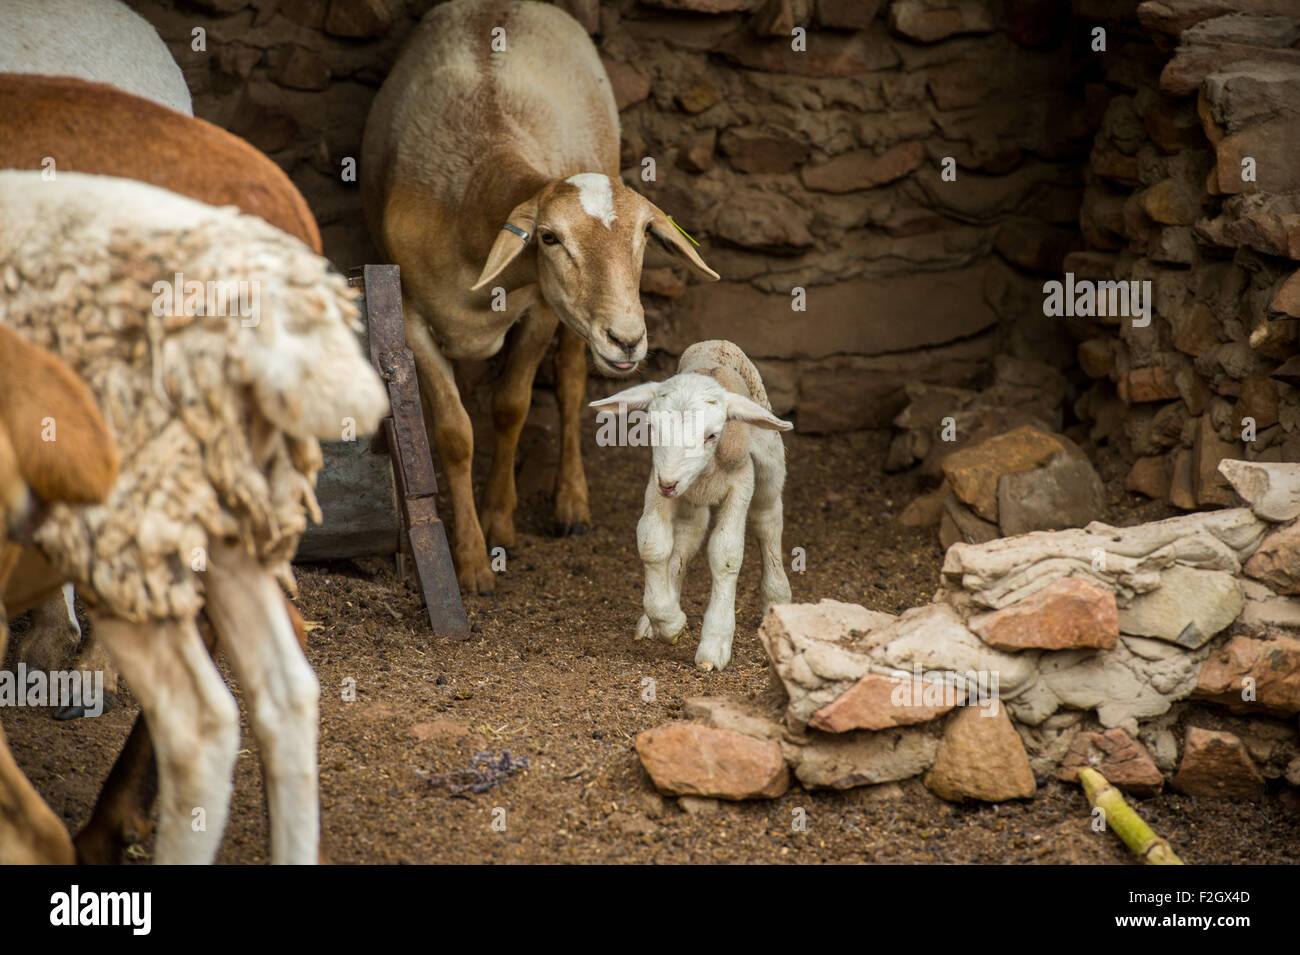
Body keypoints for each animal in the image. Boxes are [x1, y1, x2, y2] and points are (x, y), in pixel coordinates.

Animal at [361, 0, 718, 593]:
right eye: (549, 238)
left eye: (644, 235)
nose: (628, 339)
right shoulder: (409, 318)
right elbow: (454, 433)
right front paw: (471, 560)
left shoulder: (544, 312)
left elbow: (511, 407)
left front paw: (499, 519)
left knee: (571, 385)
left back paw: (571, 503)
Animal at [590, 341, 794, 672]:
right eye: (653, 429)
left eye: (711, 435)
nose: (670, 483)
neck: (706, 472)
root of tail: (719, 343)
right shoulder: (657, 481)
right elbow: (652, 542)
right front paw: (669, 622)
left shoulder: (741, 482)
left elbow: (726, 553)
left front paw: (715, 643)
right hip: (688, 500)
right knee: (688, 536)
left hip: (768, 460)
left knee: (768, 519)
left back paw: (777, 599)